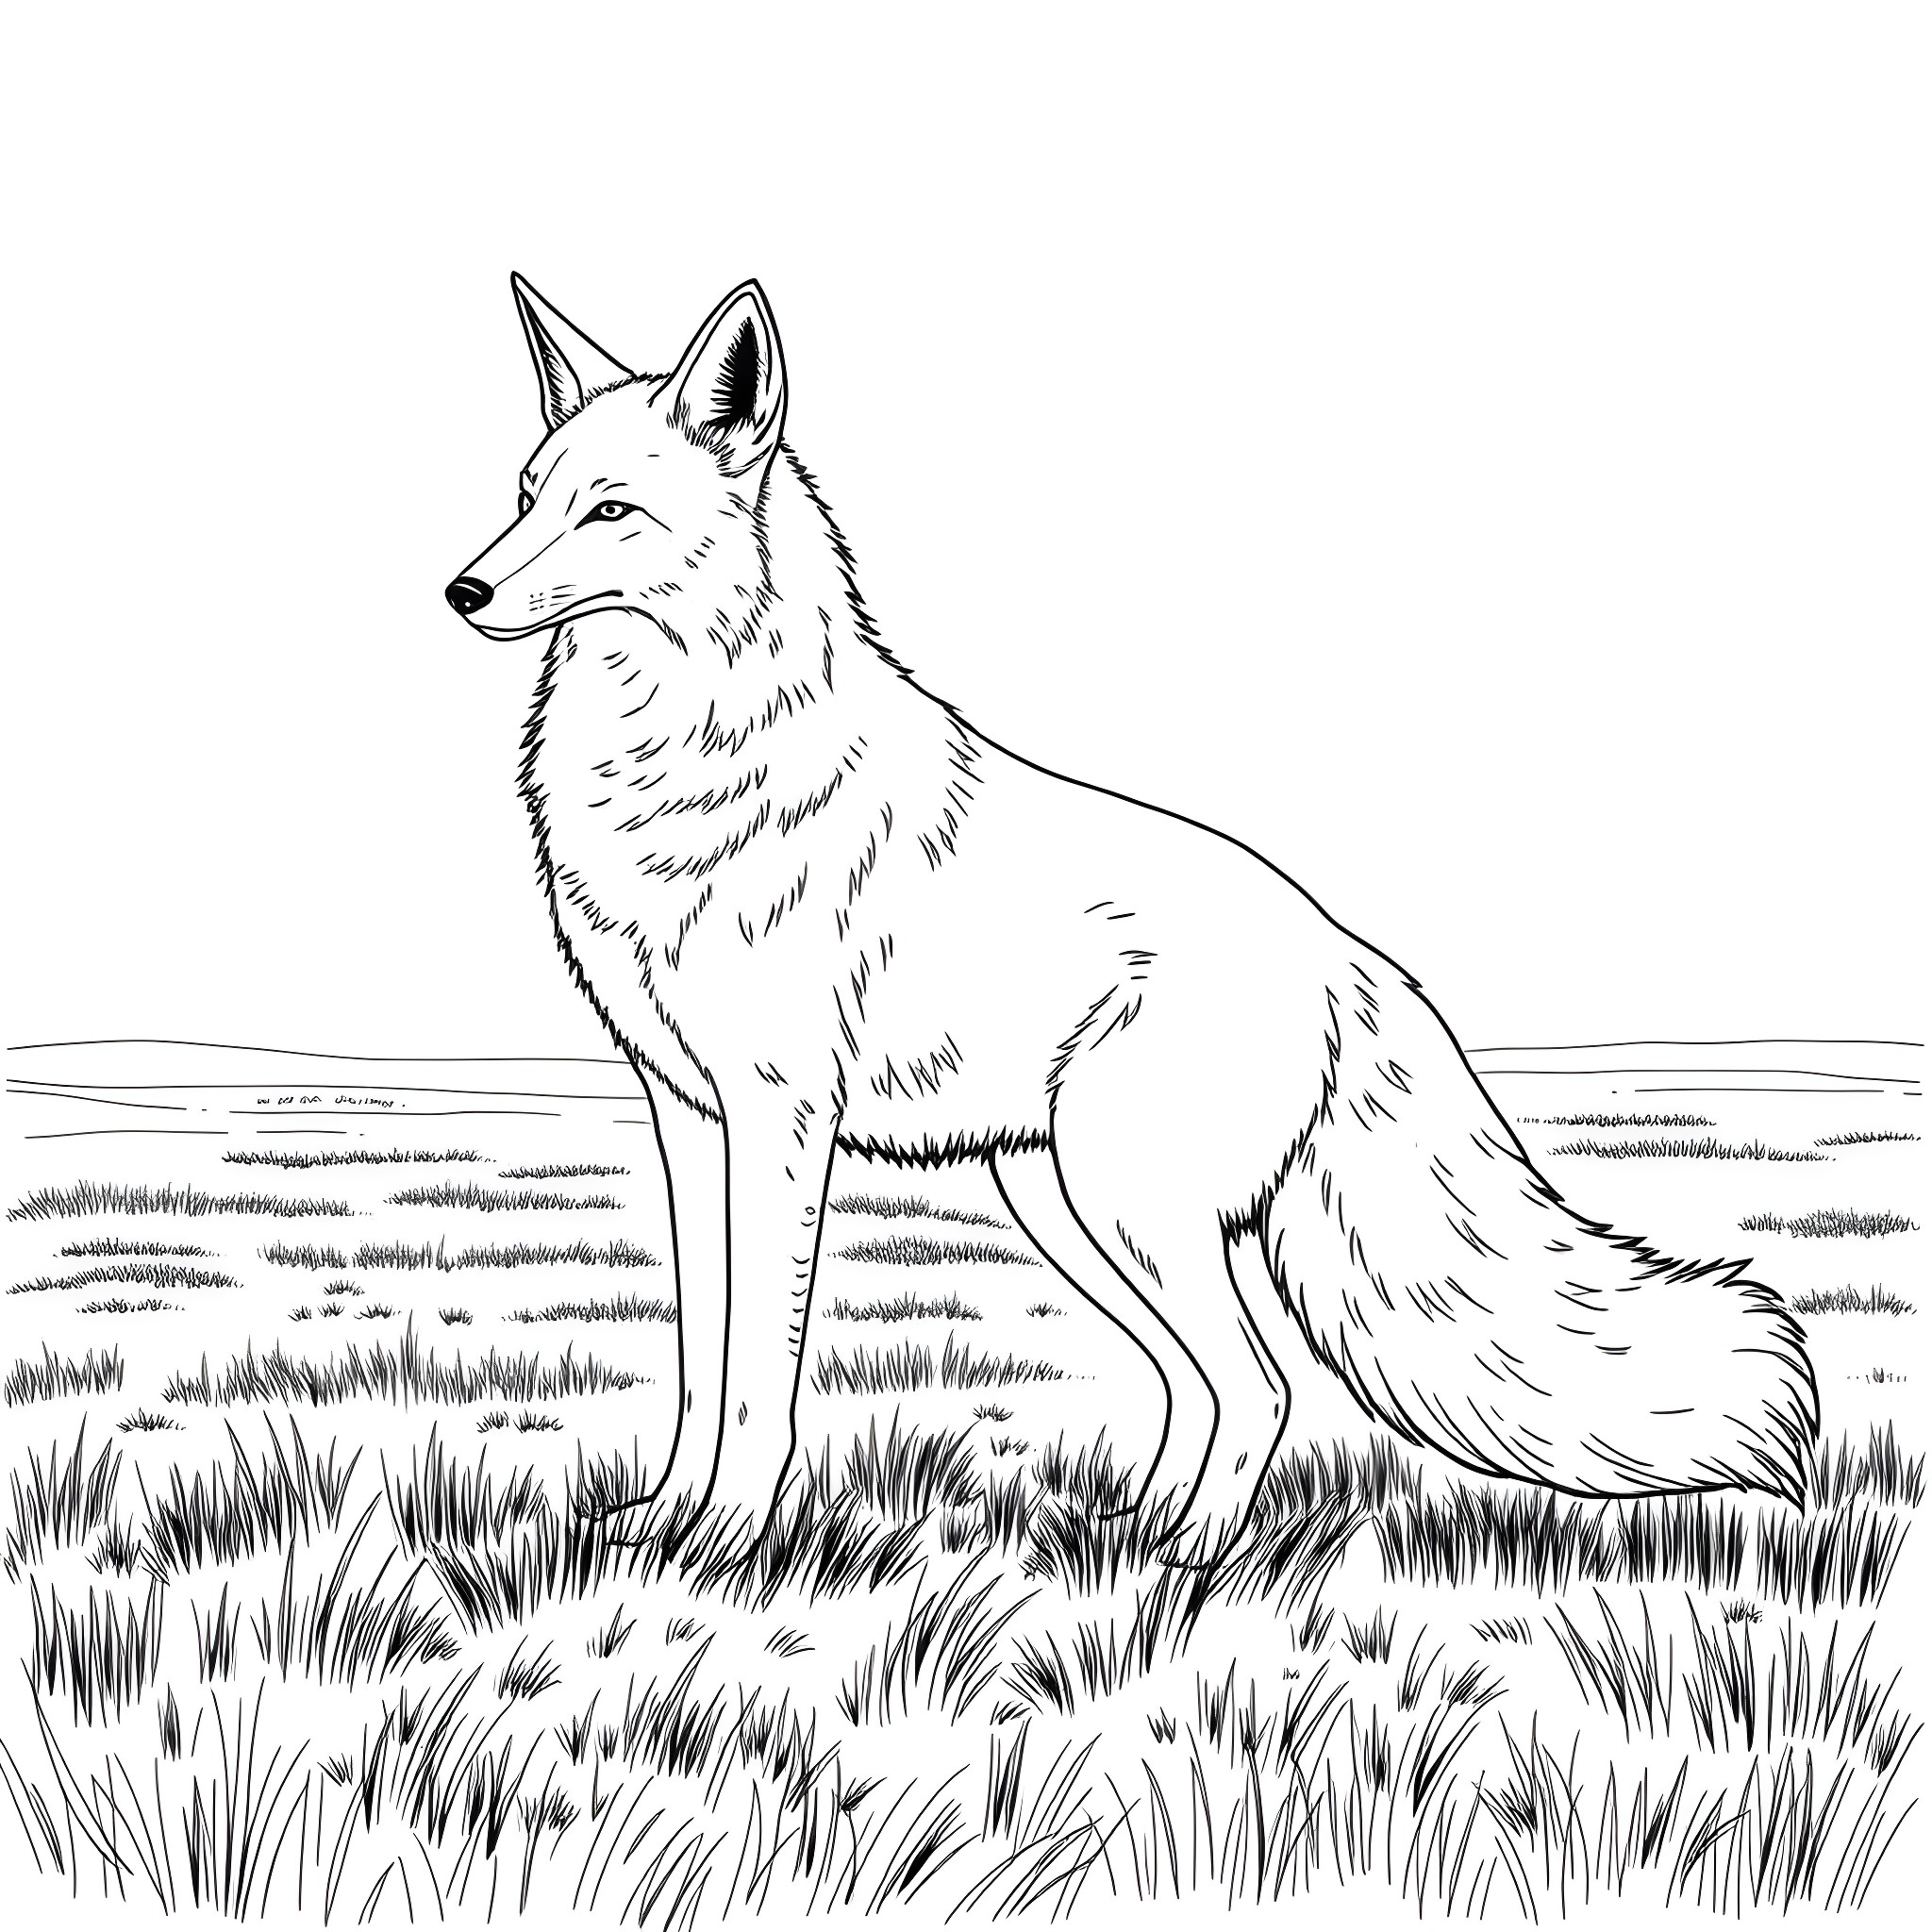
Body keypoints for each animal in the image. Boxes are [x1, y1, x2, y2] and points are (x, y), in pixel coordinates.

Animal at [445, 275, 1819, 1562]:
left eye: (609, 512)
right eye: (526, 494)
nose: (461, 590)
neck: (686, 756)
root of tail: (1349, 956)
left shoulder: (782, 1120)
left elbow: (756, 1383)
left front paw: (729, 1542)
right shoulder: (685, 1113)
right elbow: (697, 1365)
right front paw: (657, 1525)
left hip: (1117, 1202)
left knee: (1260, 1386)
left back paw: (1189, 1562)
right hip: (1067, 1206)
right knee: (1199, 1384)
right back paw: (1129, 1532)